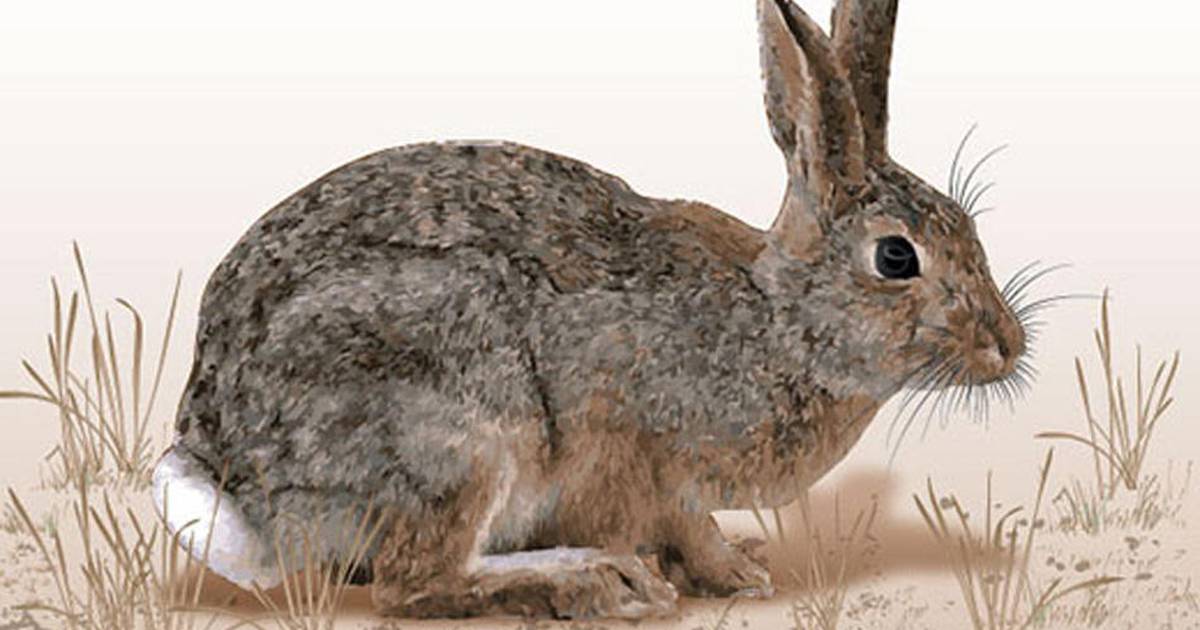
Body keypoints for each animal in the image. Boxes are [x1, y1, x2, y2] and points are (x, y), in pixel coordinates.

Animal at [152, 0, 1027, 620]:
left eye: (966, 223)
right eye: (897, 258)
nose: (1008, 346)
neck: (781, 321)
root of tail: (238, 479)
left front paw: (740, 568)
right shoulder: (648, 461)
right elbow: (686, 528)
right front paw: (729, 575)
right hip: (458, 433)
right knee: (418, 584)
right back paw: (594, 582)